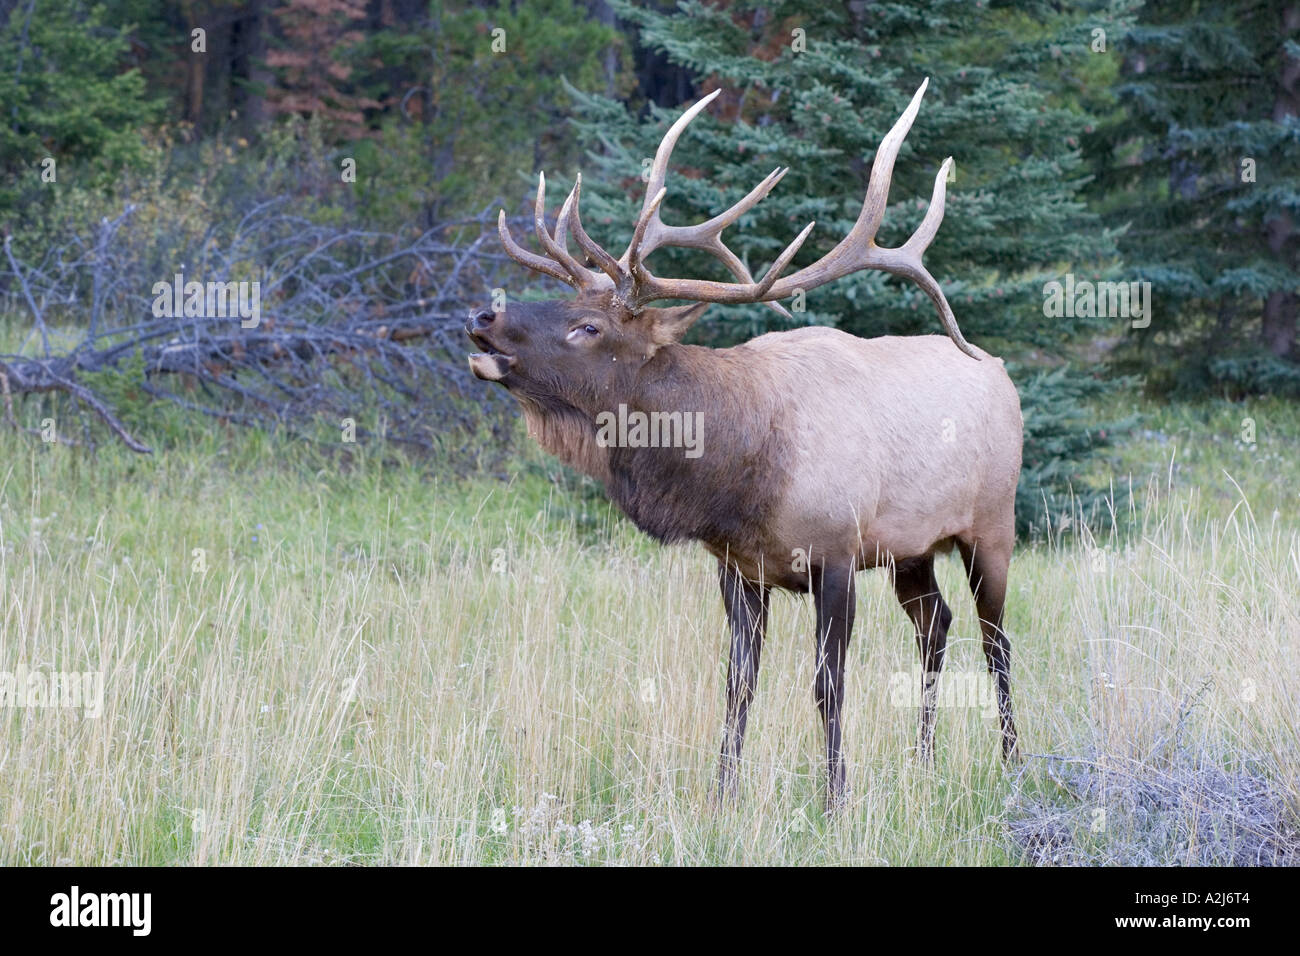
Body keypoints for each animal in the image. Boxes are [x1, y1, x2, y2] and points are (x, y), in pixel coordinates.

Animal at [466, 79, 1022, 809]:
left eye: (587, 327)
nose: (484, 314)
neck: (739, 478)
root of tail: (1005, 376)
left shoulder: (835, 552)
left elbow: (827, 684)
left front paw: (835, 799)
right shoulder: (737, 566)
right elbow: (738, 683)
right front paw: (723, 794)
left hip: (991, 524)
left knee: (997, 639)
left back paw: (1015, 763)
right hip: (912, 549)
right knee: (937, 624)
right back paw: (924, 762)